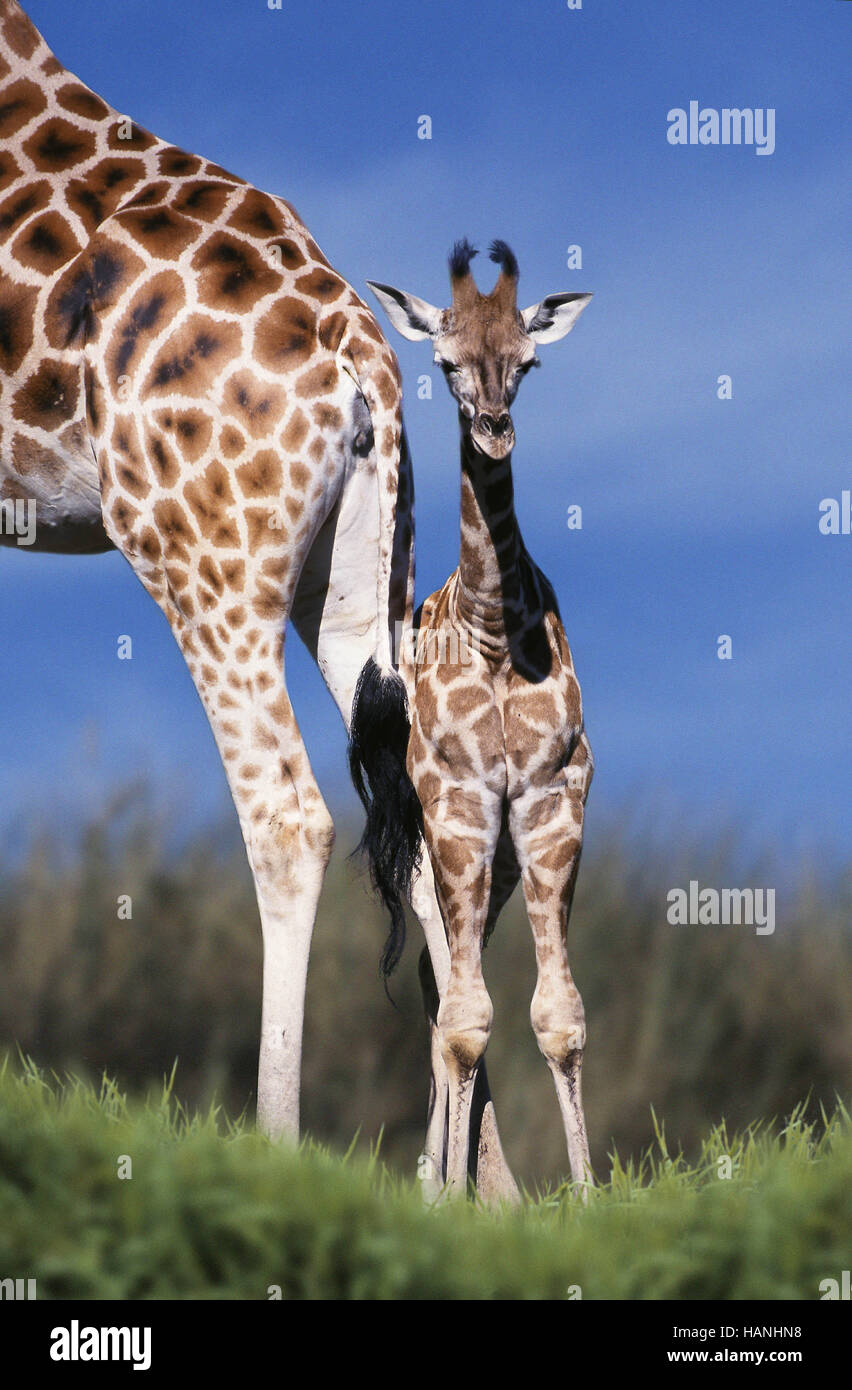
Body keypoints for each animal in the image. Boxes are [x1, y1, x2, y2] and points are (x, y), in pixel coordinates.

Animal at [0, 0, 520, 1186]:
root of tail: (361, 360)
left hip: (198, 550)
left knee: (287, 814)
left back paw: (279, 1147)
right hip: (355, 582)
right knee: (427, 833)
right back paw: (473, 1192)